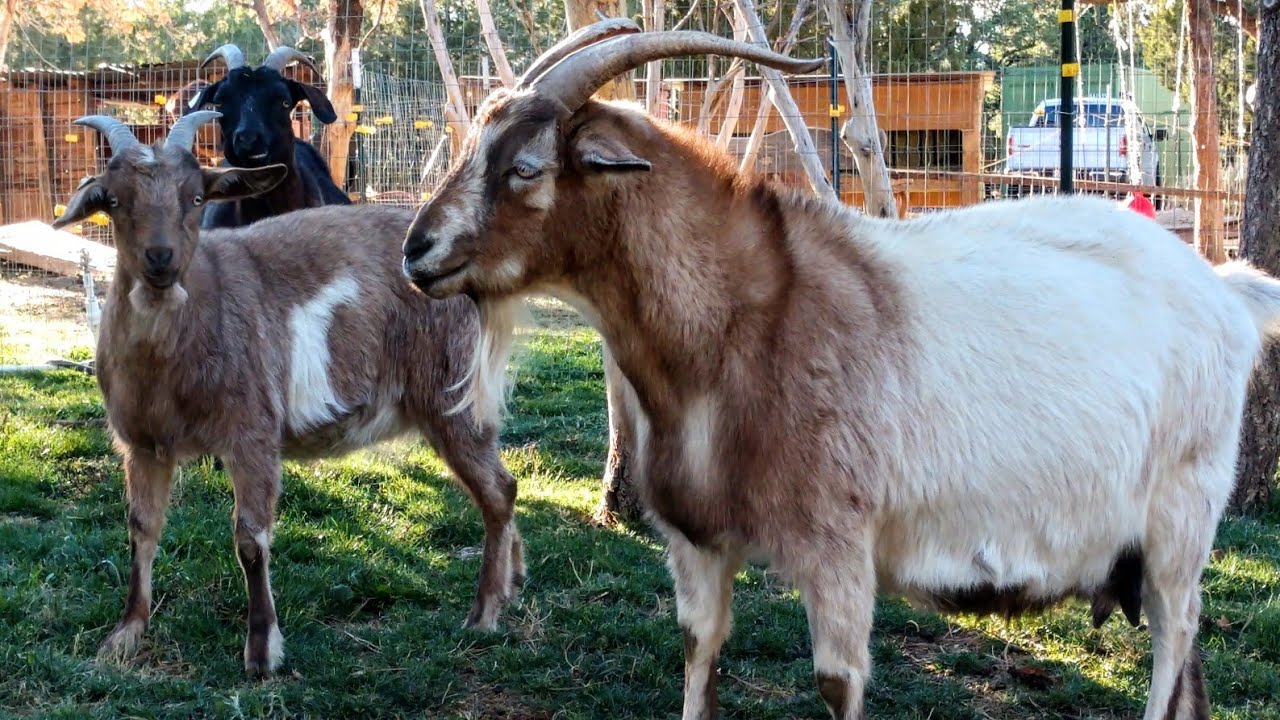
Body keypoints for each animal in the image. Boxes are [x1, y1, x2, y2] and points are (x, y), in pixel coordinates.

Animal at [53, 112, 524, 678]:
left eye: (195, 196)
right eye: (114, 199)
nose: (160, 259)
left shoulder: (252, 432)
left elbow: (250, 540)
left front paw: (261, 652)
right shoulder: (142, 443)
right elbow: (140, 531)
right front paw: (124, 634)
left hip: (453, 397)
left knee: (498, 491)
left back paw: (485, 613)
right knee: (505, 489)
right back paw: (514, 584)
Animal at [401, 26, 1280, 720]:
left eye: (526, 167)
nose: (416, 251)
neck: (746, 324)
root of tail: (1225, 292)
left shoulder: (839, 548)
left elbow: (837, 684)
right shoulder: (697, 539)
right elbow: (698, 654)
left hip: (1181, 516)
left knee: (1173, 646)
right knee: (1188, 657)